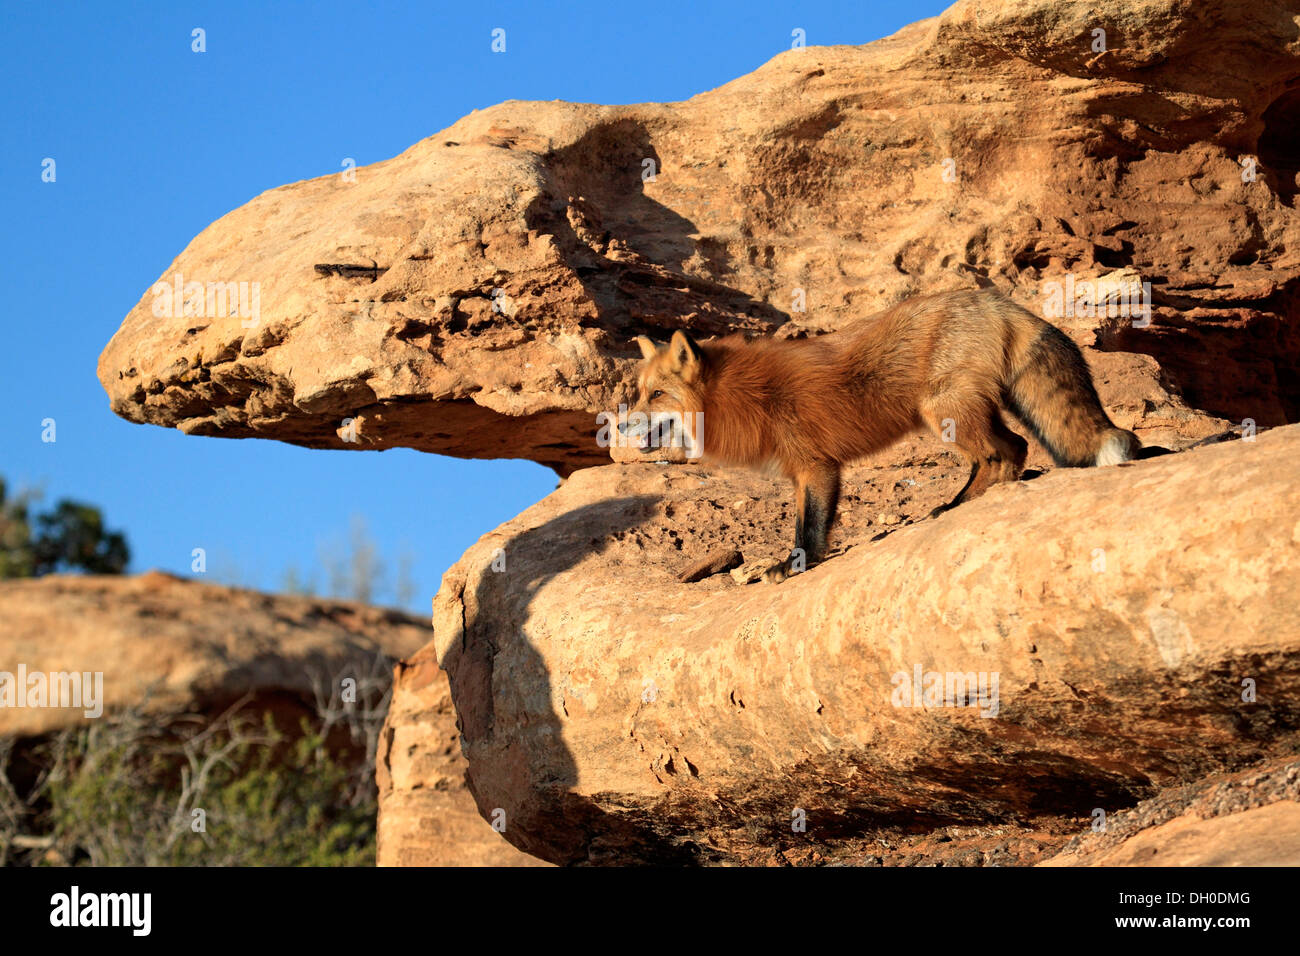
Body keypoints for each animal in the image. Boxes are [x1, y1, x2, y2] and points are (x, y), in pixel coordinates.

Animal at [621, 287, 1141, 583]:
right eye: (640, 393)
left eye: (657, 395)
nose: (622, 424)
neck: (742, 394)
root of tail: (994, 301)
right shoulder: (802, 473)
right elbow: (802, 526)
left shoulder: (817, 466)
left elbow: (809, 531)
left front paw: (793, 568)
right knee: (1007, 451)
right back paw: (959, 504)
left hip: (943, 410)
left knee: (1009, 451)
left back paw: (968, 505)